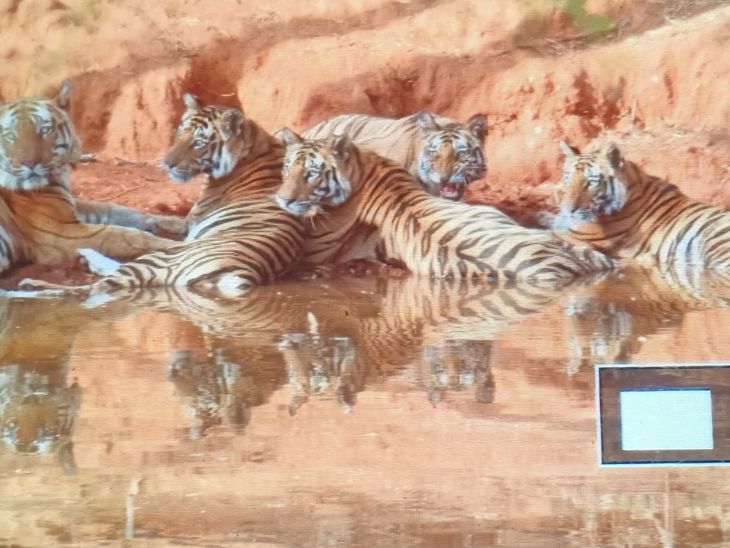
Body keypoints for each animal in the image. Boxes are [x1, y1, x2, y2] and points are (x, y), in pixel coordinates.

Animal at [0, 80, 182, 276]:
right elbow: (127, 235)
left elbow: (118, 210)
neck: (59, 175)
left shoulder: (70, 208)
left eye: (44, 130)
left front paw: (173, 222)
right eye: (10, 135)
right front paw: (177, 245)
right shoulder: (60, 234)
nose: (29, 163)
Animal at [17, 93, 304, 297]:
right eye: (179, 134)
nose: (167, 163)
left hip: (163, 258)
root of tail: (243, 273)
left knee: (96, 288)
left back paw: (34, 285)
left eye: (198, 143)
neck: (255, 144)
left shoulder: (191, 221)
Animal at [272, 129, 615, 286]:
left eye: (311, 173)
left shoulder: (315, 250)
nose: (283, 200)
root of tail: (565, 266)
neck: (363, 165)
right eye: (287, 167)